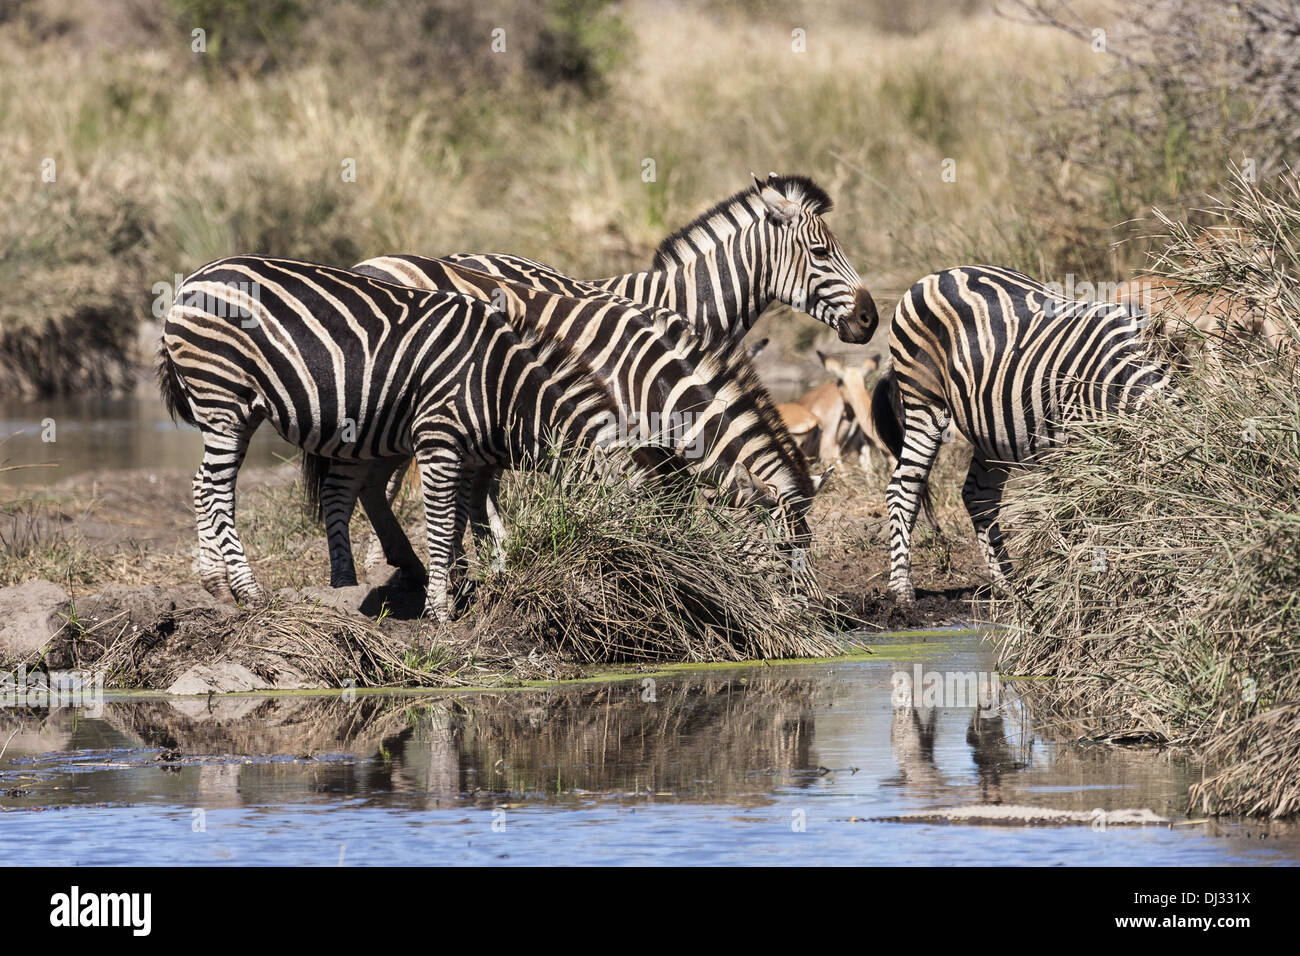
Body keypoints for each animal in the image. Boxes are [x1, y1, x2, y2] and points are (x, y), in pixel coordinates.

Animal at [158, 255, 645, 622]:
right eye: (623, 527)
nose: (640, 592)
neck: (499, 385)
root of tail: (187, 286)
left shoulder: (468, 455)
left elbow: (468, 520)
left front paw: (469, 584)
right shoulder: (439, 439)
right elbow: (443, 525)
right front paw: (441, 610)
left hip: (231, 409)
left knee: (204, 486)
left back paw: (218, 587)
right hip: (223, 397)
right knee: (218, 489)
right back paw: (251, 592)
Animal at [312, 259, 820, 587]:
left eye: (809, 549)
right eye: (782, 555)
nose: (807, 614)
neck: (648, 377)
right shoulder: (619, 439)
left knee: (374, 483)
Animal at [869, 265, 1170, 603]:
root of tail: (936, 275)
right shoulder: (1076, 448)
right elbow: (1079, 513)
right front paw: (1083, 584)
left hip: (990, 423)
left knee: (977, 495)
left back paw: (1008, 585)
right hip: (923, 400)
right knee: (903, 490)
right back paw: (902, 590)